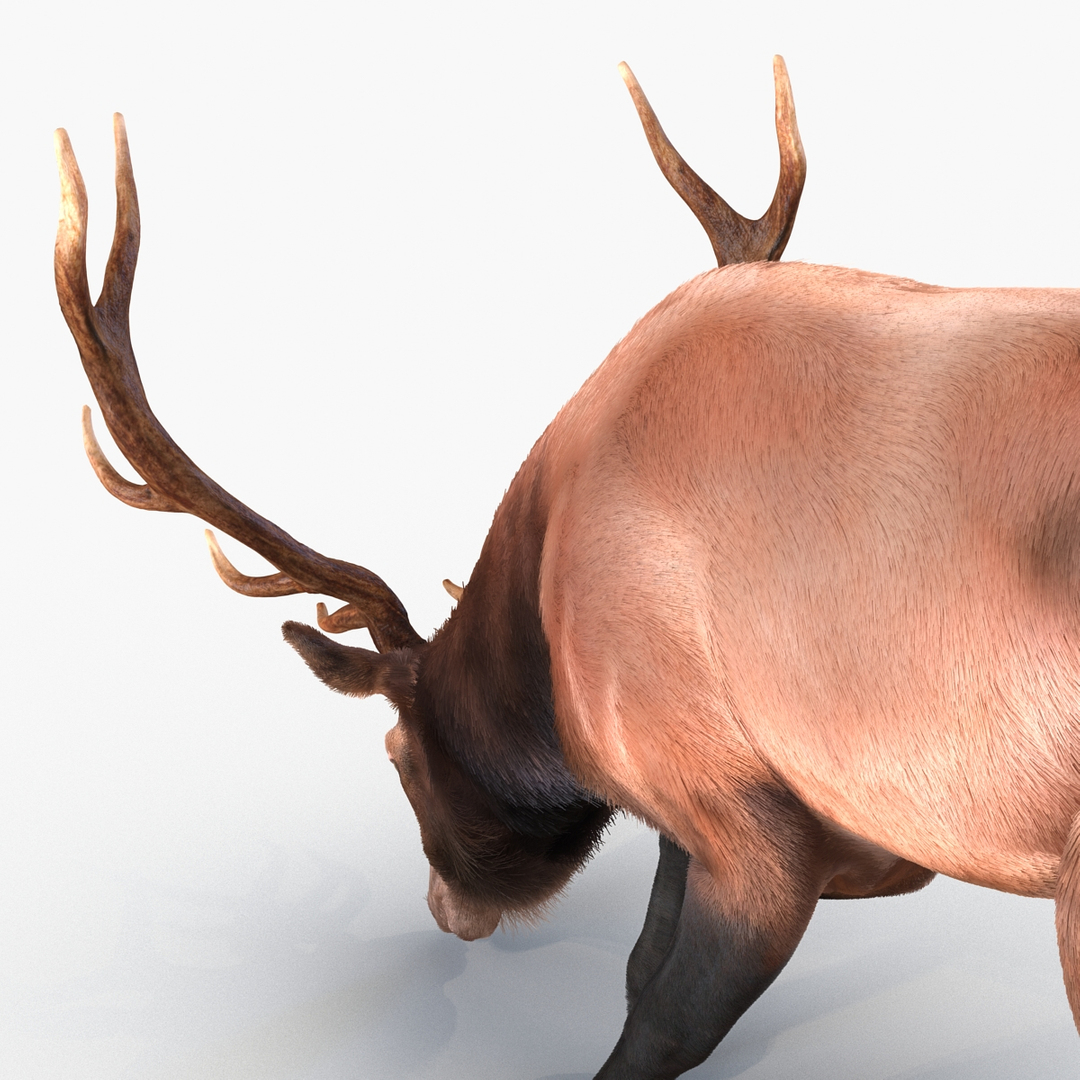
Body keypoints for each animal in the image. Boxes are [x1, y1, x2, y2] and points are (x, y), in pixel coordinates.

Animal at [53, 56, 1080, 1079]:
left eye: (395, 756)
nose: (447, 909)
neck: (549, 653)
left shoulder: (752, 821)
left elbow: (658, 1015)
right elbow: (644, 947)